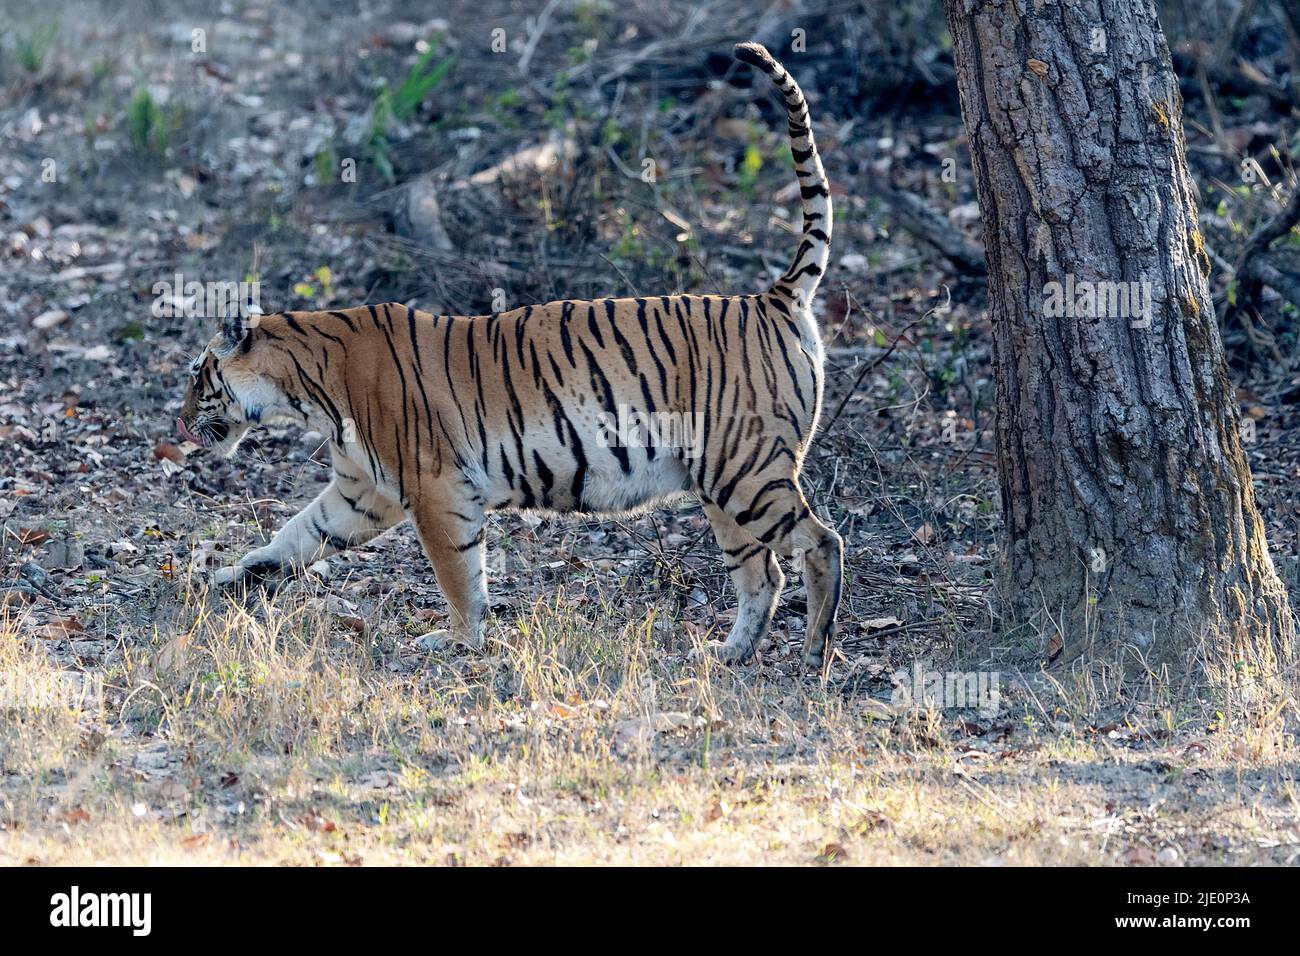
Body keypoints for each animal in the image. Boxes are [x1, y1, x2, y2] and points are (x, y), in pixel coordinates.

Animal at [176, 42, 844, 669]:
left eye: (196, 375)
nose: (179, 425)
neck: (307, 390)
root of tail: (774, 297)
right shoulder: (362, 491)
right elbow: (295, 534)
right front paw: (237, 574)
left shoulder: (436, 488)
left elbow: (458, 574)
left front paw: (460, 640)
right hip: (721, 485)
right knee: (763, 574)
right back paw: (730, 654)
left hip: (746, 469)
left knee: (821, 542)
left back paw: (815, 651)